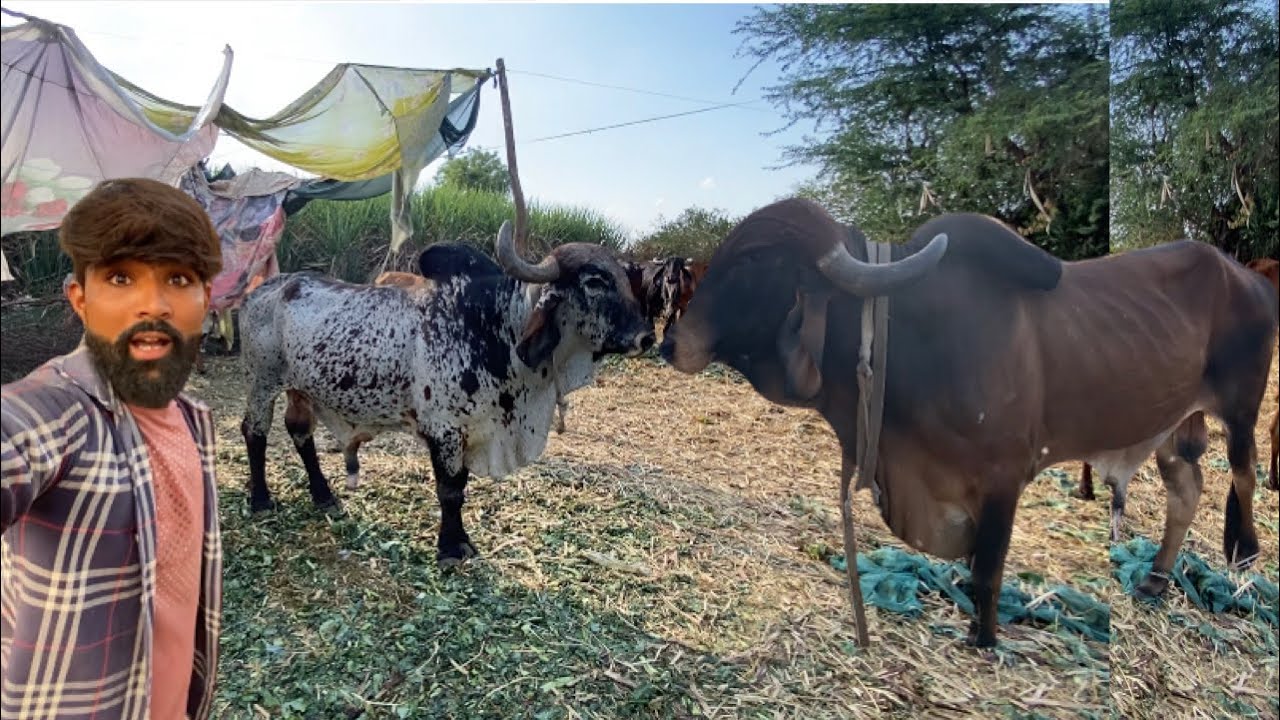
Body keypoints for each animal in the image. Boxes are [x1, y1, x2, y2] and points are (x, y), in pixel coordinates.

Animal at [238, 221, 656, 568]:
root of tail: (265, 289)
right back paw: (260, 500)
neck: (493, 326)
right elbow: (449, 490)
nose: (646, 336)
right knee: (254, 431)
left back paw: (324, 495)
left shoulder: (473, 430)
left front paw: (461, 542)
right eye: (595, 281)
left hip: (299, 387)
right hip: (263, 380)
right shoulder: (444, 431)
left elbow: (461, 488)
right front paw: (451, 549)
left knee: (299, 432)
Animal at [659, 197, 1277, 647]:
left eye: (752, 264)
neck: (906, 333)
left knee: (1245, 475)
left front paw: (983, 640)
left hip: (1241, 408)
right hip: (1172, 424)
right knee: (1186, 491)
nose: (669, 342)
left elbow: (986, 571)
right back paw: (1154, 578)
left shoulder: (1004, 478)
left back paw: (1245, 557)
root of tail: (1247, 277)